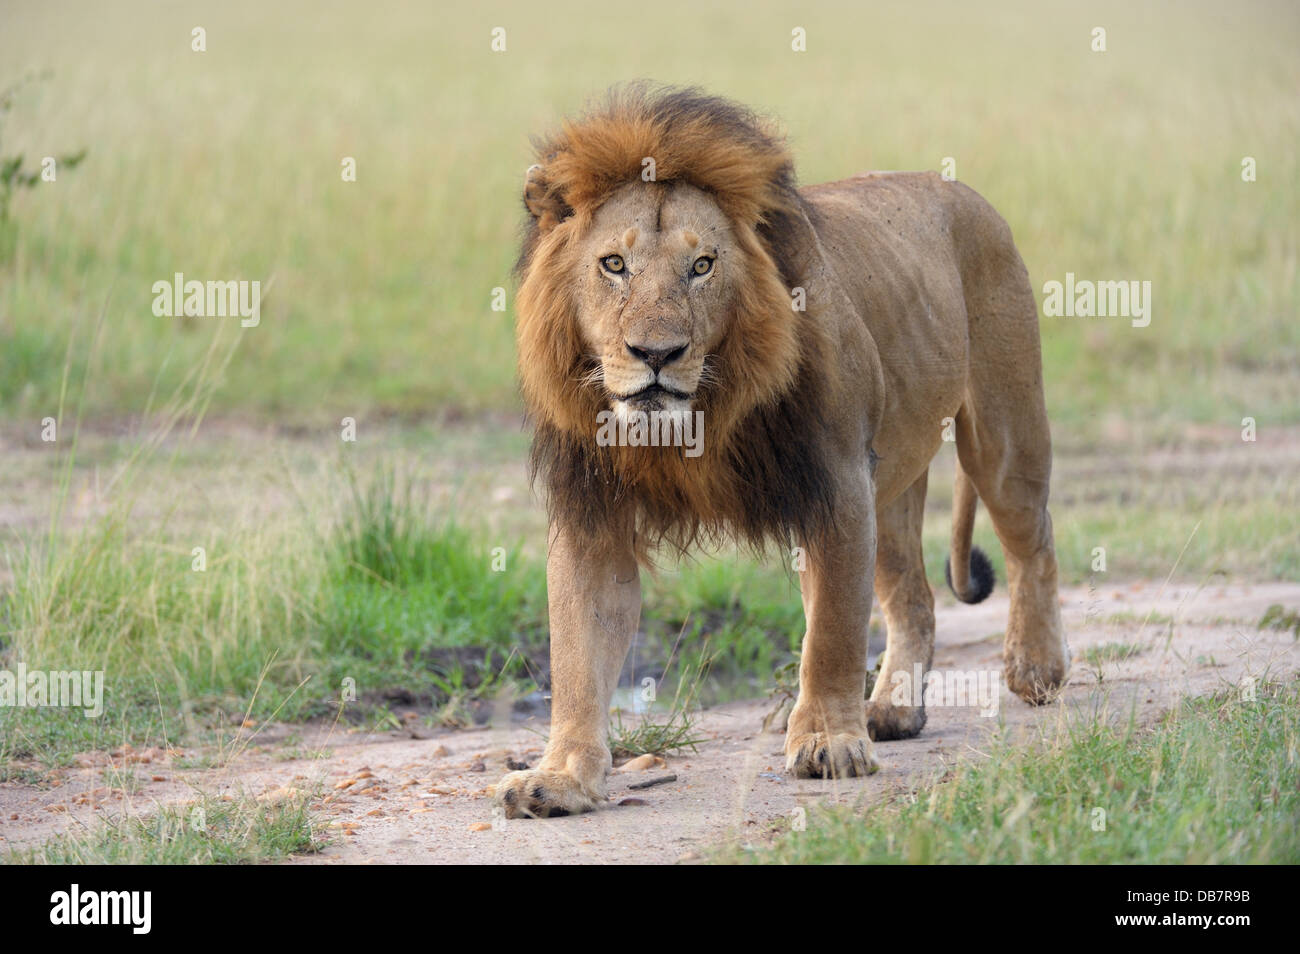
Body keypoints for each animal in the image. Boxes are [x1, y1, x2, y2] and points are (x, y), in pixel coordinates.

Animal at [497, 85, 1070, 818]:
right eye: (614, 265)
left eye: (702, 266)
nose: (656, 354)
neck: (696, 418)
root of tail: (959, 188)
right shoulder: (592, 514)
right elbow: (576, 653)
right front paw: (562, 775)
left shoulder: (838, 486)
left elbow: (830, 633)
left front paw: (829, 743)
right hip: (890, 481)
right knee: (912, 595)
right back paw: (893, 708)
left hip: (1002, 433)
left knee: (1034, 541)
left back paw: (1036, 666)